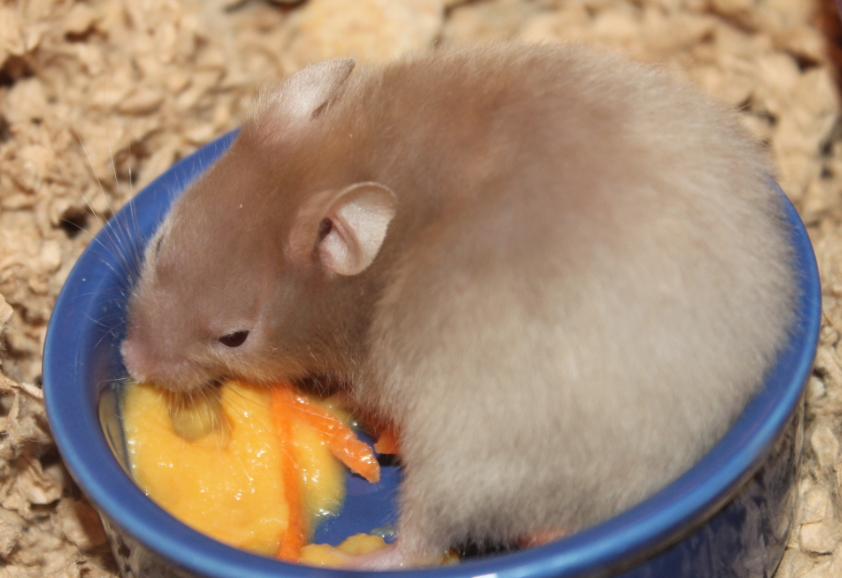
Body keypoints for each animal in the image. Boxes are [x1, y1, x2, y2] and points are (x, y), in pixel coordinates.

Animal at [121, 43, 797, 568]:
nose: (130, 359)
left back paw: (365, 559)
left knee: (420, 545)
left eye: (234, 337)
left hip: (459, 456)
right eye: (159, 243)